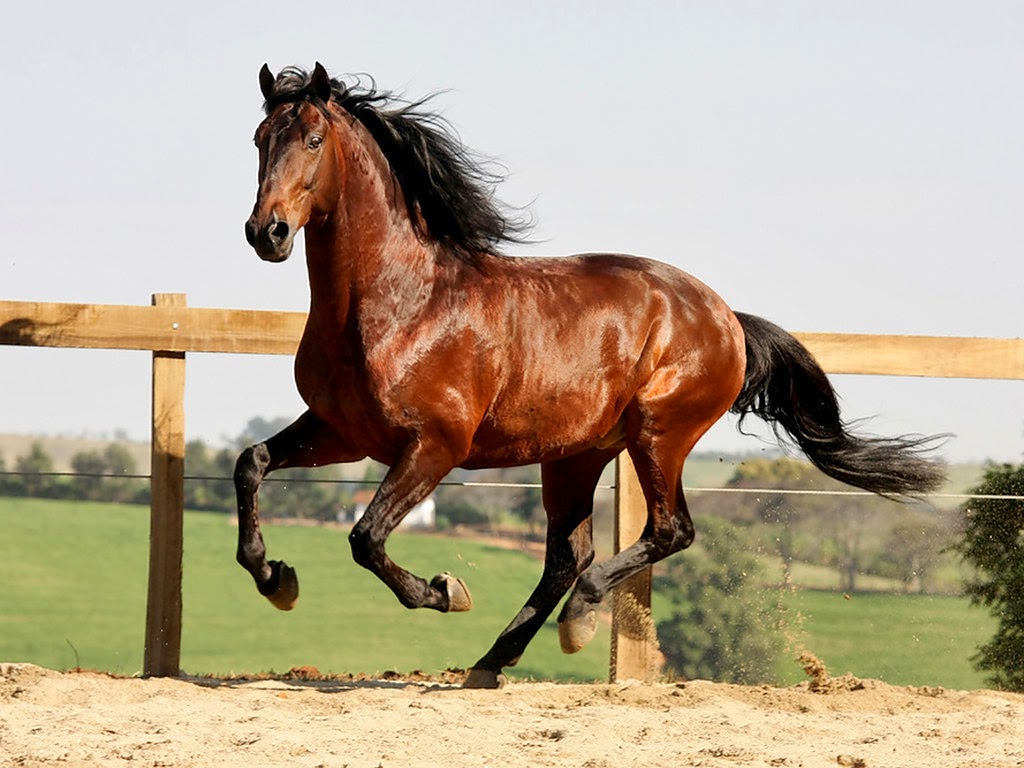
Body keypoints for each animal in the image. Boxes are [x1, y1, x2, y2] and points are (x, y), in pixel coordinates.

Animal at [236, 63, 946, 688]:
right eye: (259, 138)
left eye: (314, 139)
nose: (266, 232)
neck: (399, 305)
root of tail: (725, 317)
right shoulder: (342, 431)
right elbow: (252, 464)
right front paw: (277, 580)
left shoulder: (435, 446)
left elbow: (365, 537)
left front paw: (445, 590)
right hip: (574, 454)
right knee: (567, 556)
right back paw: (493, 660)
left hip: (658, 435)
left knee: (664, 532)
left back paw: (578, 615)